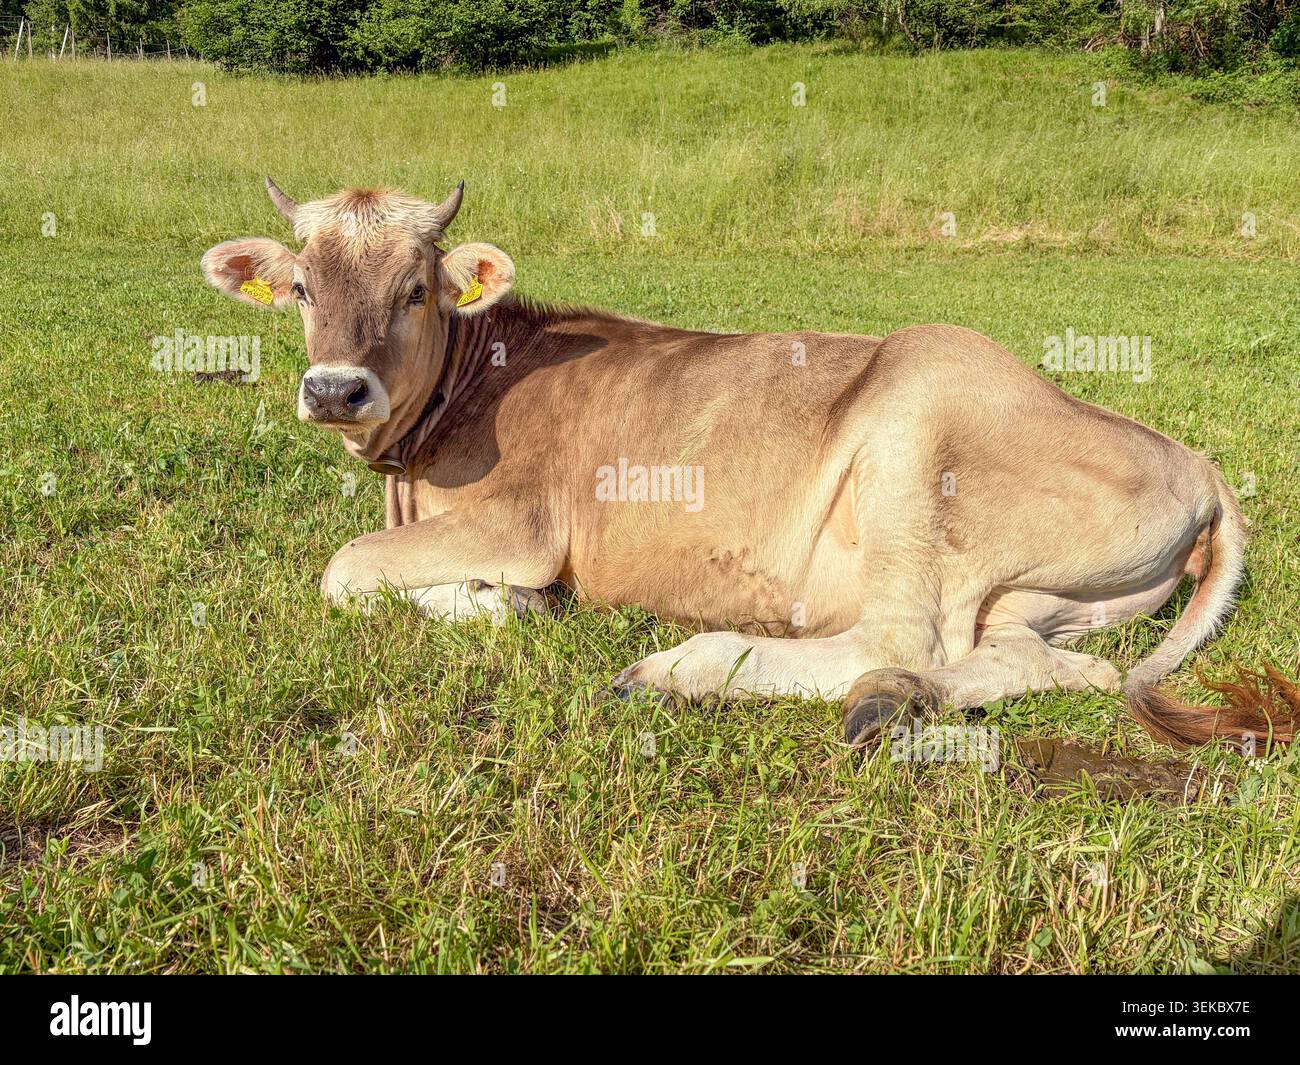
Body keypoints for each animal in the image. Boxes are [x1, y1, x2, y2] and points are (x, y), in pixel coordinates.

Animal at [200, 179, 1298, 750]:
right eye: (301, 288)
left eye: (418, 290)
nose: (335, 389)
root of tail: (1196, 461)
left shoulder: (523, 522)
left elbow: (345, 567)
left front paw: (507, 605)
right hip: (1044, 601)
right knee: (1047, 664)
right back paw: (890, 703)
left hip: (916, 415)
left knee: (895, 635)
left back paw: (676, 671)